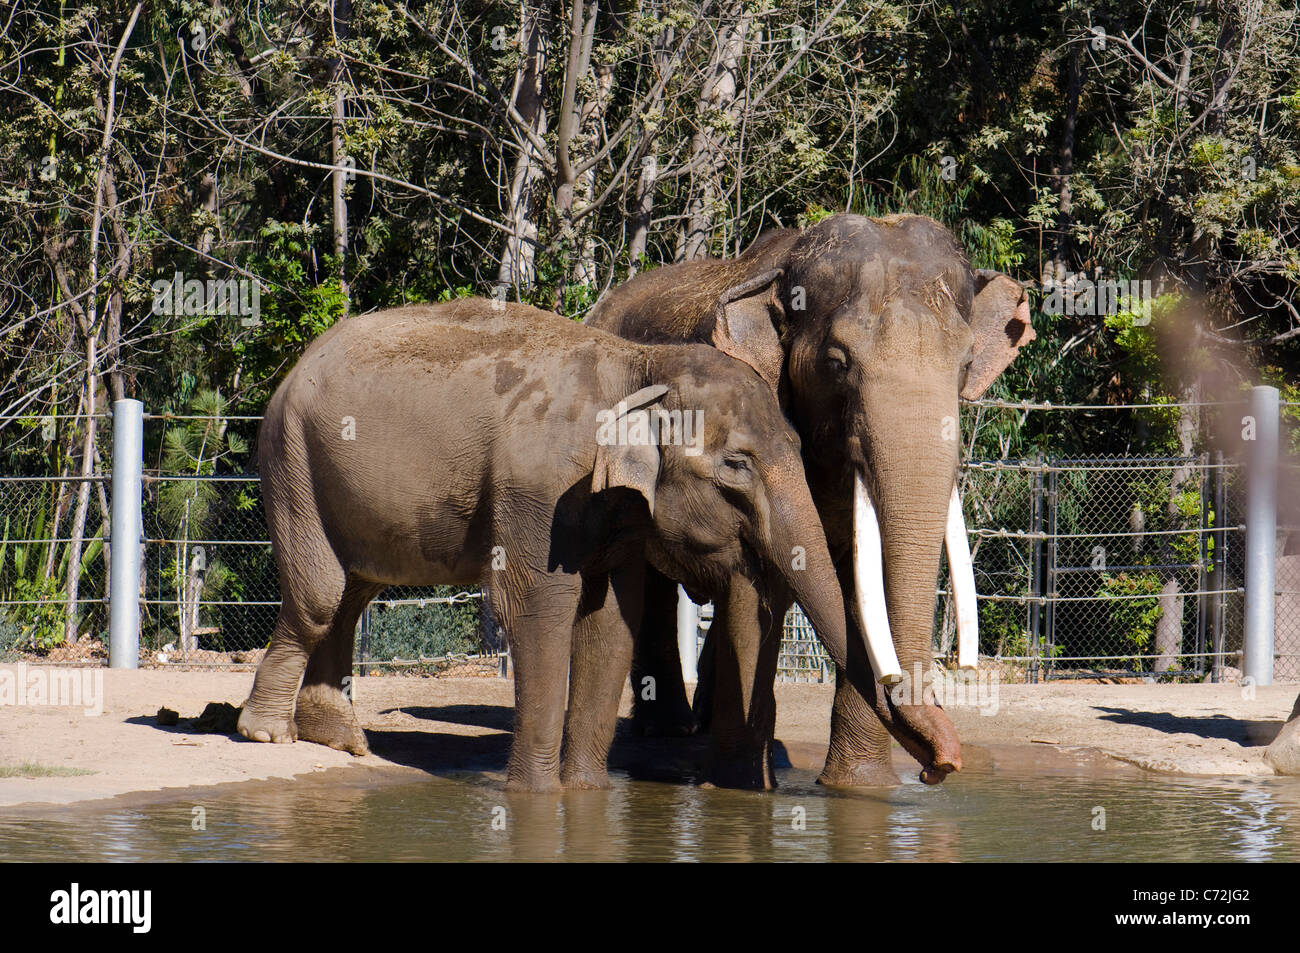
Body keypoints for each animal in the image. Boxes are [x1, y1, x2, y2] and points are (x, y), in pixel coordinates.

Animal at [236, 298, 863, 793]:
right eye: (736, 464)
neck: (640, 365)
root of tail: (296, 366)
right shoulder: (541, 488)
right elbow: (542, 607)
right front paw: (536, 799)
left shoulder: (615, 510)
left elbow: (611, 622)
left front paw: (586, 795)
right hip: (291, 458)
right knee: (322, 593)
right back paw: (267, 733)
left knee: (354, 593)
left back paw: (338, 740)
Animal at [586, 212, 1035, 788]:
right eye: (837, 363)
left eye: (967, 363)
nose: (936, 772)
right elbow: (764, 582)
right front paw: (741, 787)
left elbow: (856, 584)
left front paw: (858, 787)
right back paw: (668, 733)